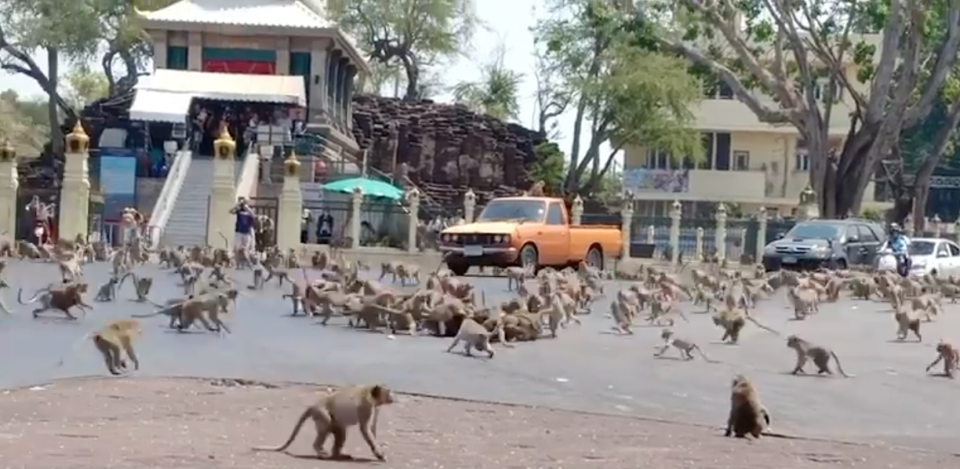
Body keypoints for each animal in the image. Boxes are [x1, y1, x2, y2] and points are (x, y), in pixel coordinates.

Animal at [252, 384, 394, 461]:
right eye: (388, 393)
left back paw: (338, 455)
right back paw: (320, 451)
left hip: (332, 420)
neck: (369, 392)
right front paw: (379, 454)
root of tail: (313, 406)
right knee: (326, 425)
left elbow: (372, 429)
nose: (393, 398)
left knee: (340, 432)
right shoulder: (366, 407)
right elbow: (365, 429)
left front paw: (378, 453)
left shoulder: (375, 408)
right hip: (321, 413)